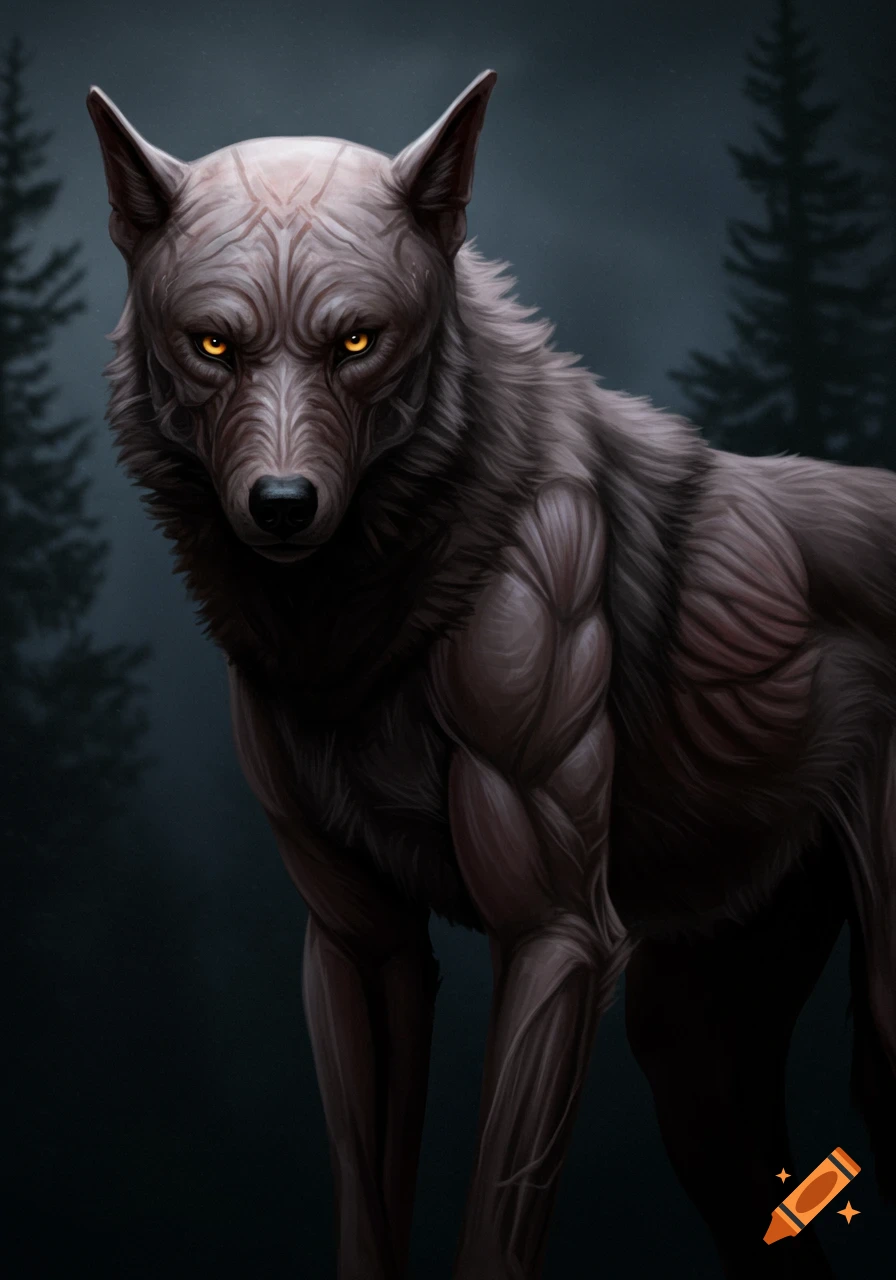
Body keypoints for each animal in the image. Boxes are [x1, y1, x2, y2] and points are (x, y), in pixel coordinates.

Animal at [87, 70, 895, 1279]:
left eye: (358, 340)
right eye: (214, 346)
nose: (281, 506)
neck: (365, 626)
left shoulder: (556, 932)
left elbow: (490, 1224)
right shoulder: (357, 944)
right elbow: (368, 1216)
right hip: (693, 1057)